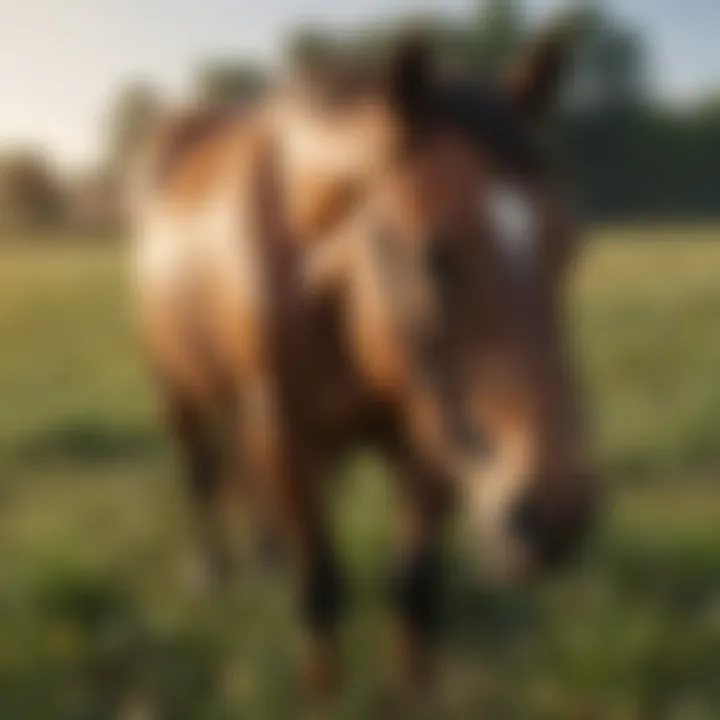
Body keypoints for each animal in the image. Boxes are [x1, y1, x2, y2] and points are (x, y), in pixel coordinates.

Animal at [129, 23, 596, 692]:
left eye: (568, 245)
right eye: (432, 254)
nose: (554, 516)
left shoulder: (425, 439)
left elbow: (414, 588)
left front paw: (415, 694)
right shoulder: (293, 439)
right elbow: (321, 585)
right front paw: (322, 692)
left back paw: (263, 556)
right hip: (179, 392)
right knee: (202, 476)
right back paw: (212, 571)